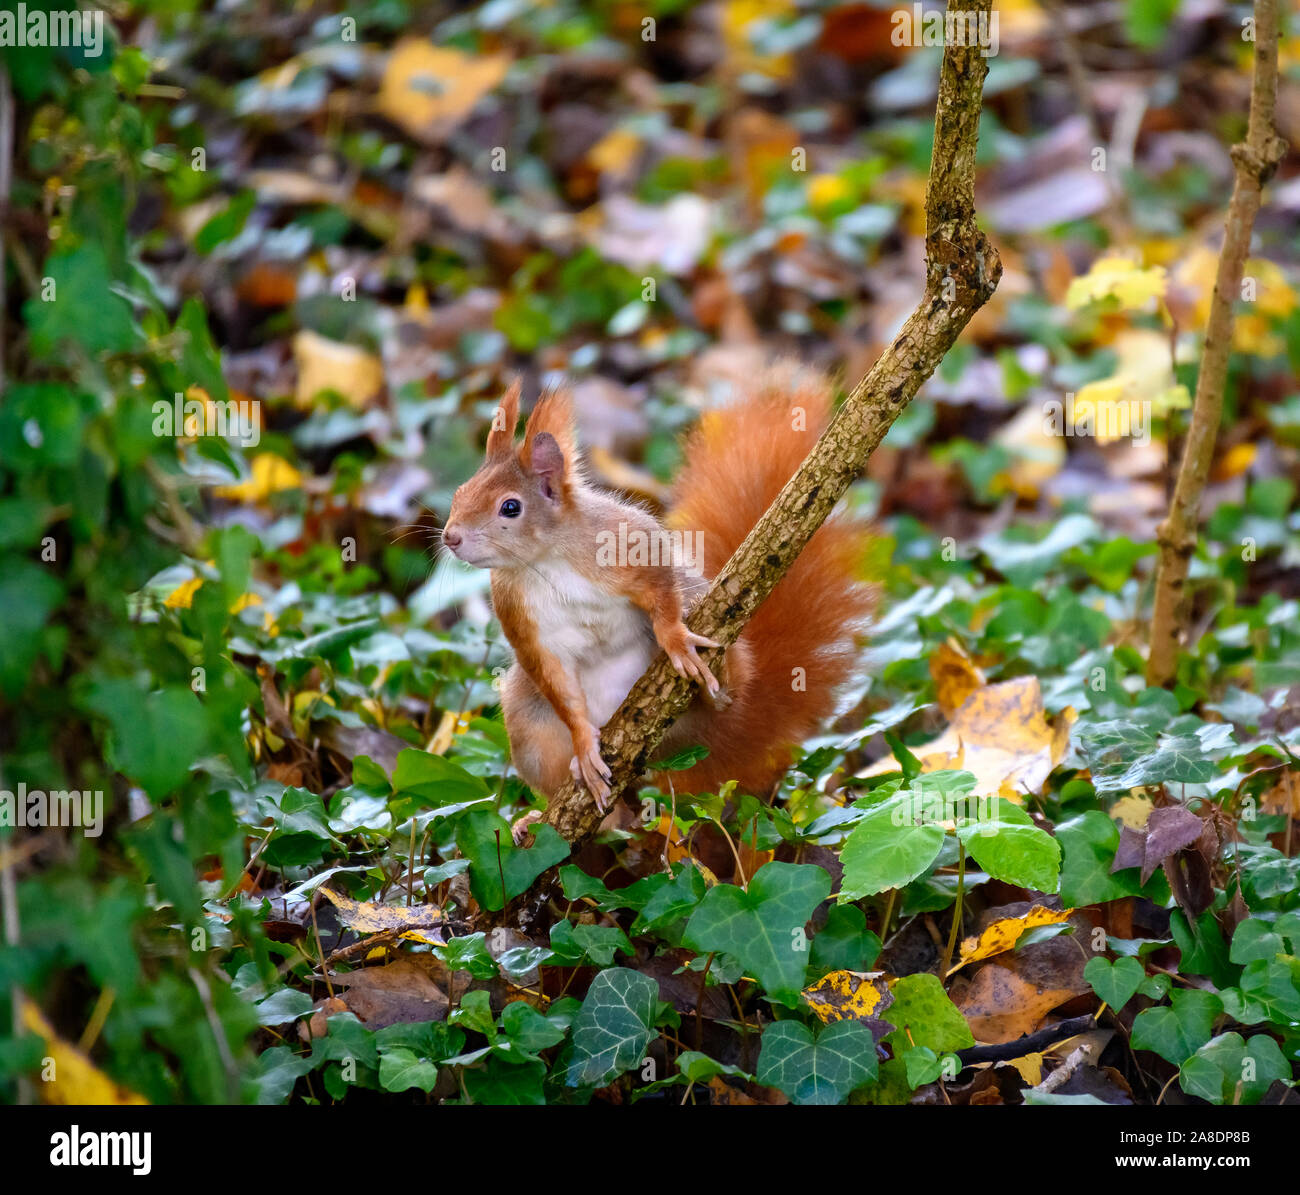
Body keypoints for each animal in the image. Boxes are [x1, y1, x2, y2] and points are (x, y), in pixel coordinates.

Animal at [440, 364, 872, 813]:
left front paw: (676, 641)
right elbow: (554, 680)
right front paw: (584, 745)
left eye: (510, 507)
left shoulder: (627, 545)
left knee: (727, 690)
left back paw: (717, 688)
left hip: (722, 656)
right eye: (459, 492)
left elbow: (661, 590)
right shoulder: (520, 617)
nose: (450, 537)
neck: (545, 561)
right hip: (531, 728)